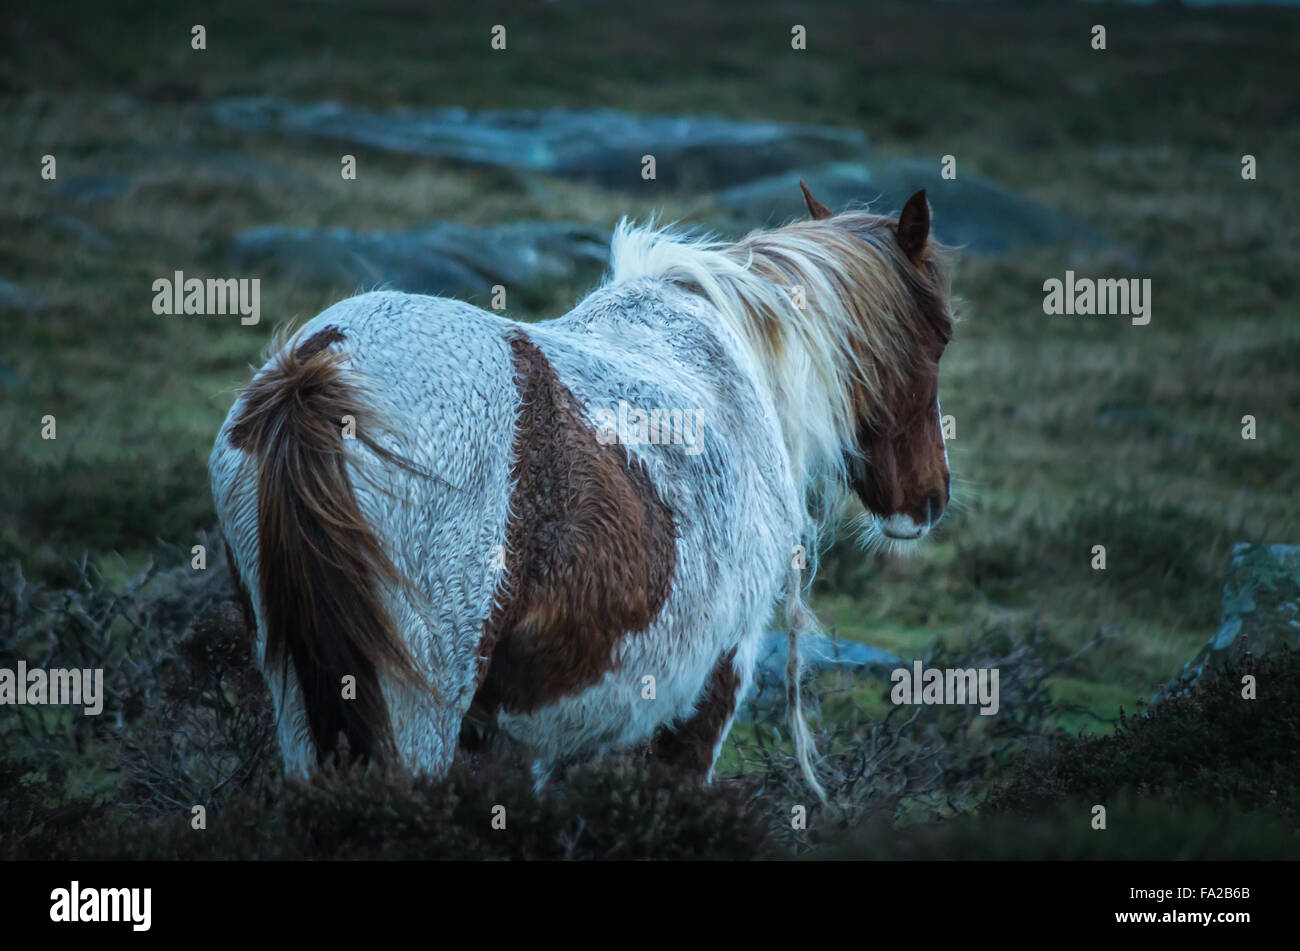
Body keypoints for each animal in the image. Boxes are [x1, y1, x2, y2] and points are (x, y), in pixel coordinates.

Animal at [209, 184, 954, 795]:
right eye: (942, 333)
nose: (931, 497)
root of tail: (315, 374)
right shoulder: (712, 685)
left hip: (307, 705)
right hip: (416, 714)